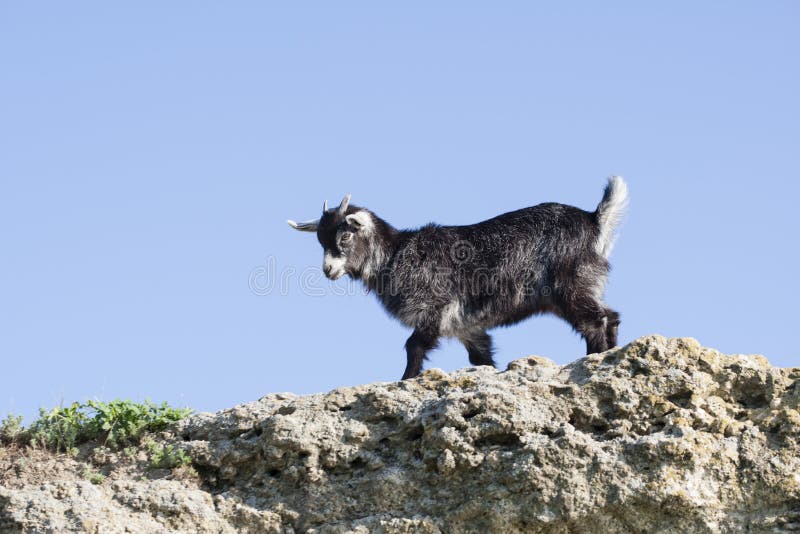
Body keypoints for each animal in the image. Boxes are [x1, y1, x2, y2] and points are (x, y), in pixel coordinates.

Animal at [288, 177, 628, 379]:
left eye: (344, 236)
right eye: (320, 241)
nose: (328, 270)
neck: (396, 253)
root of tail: (594, 220)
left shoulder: (433, 308)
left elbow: (414, 345)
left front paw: (406, 379)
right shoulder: (468, 326)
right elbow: (482, 358)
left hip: (570, 285)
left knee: (596, 320)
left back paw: (594, 359)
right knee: (610, 316)